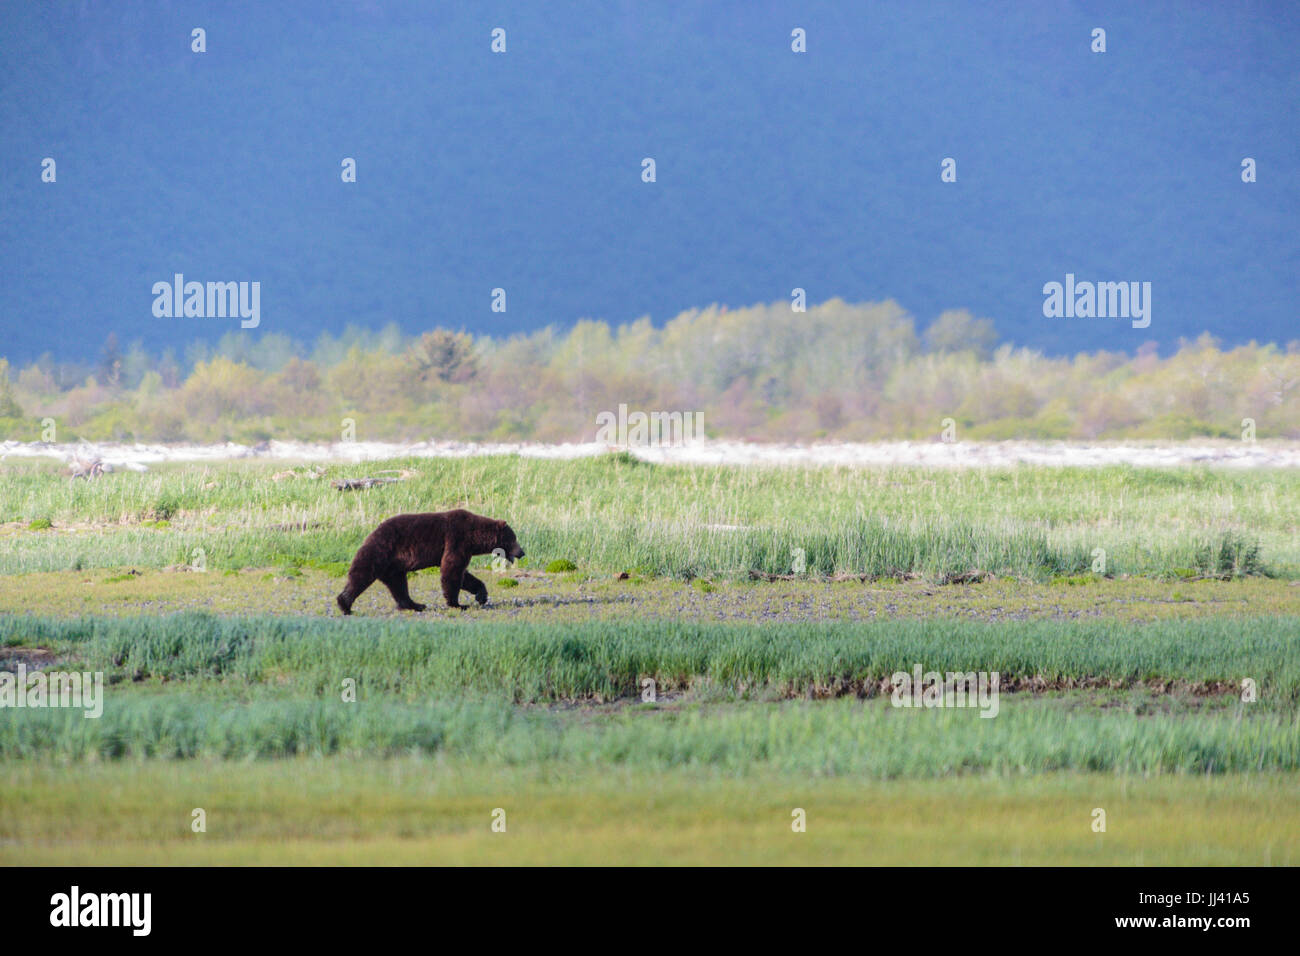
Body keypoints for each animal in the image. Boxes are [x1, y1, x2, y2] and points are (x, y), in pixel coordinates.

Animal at [336, 509, 524, 614]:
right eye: (514, 539)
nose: (522, 552)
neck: (475, 536)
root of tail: (371, 533)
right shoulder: (457, 538)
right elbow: (452, 569)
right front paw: (457, 603)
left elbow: (464, 575)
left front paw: (481, 596)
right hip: (382, 550)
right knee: (362, 574)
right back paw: (345, 604)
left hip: (393, 566)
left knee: (398, 585)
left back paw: (416, 605)